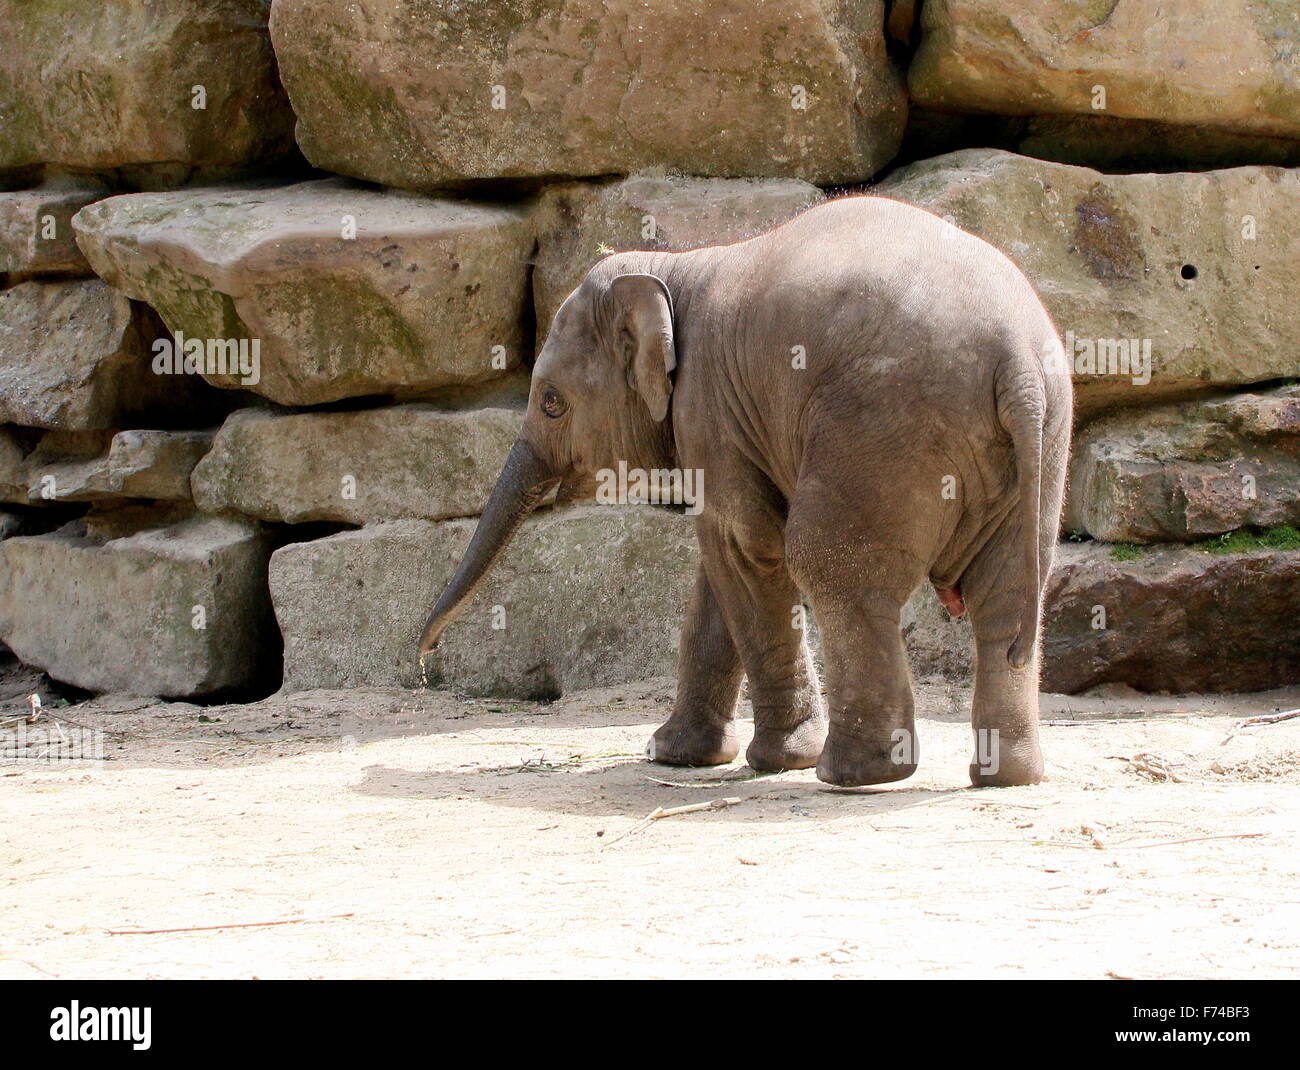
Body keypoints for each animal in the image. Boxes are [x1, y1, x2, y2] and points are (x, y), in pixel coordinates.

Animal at [421, 196, 1071, 790]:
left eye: (552, 402)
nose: (423, 659)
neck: (678, 266)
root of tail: (1015, 361)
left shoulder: (710, 405)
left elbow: (746, 548)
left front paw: (778, 760)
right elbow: (718, 571)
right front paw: (674, 754)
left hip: (886, 426)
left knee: (829, 564)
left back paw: (851, 774)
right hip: (1038, 446)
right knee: (1007, 593)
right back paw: (1007, 776)